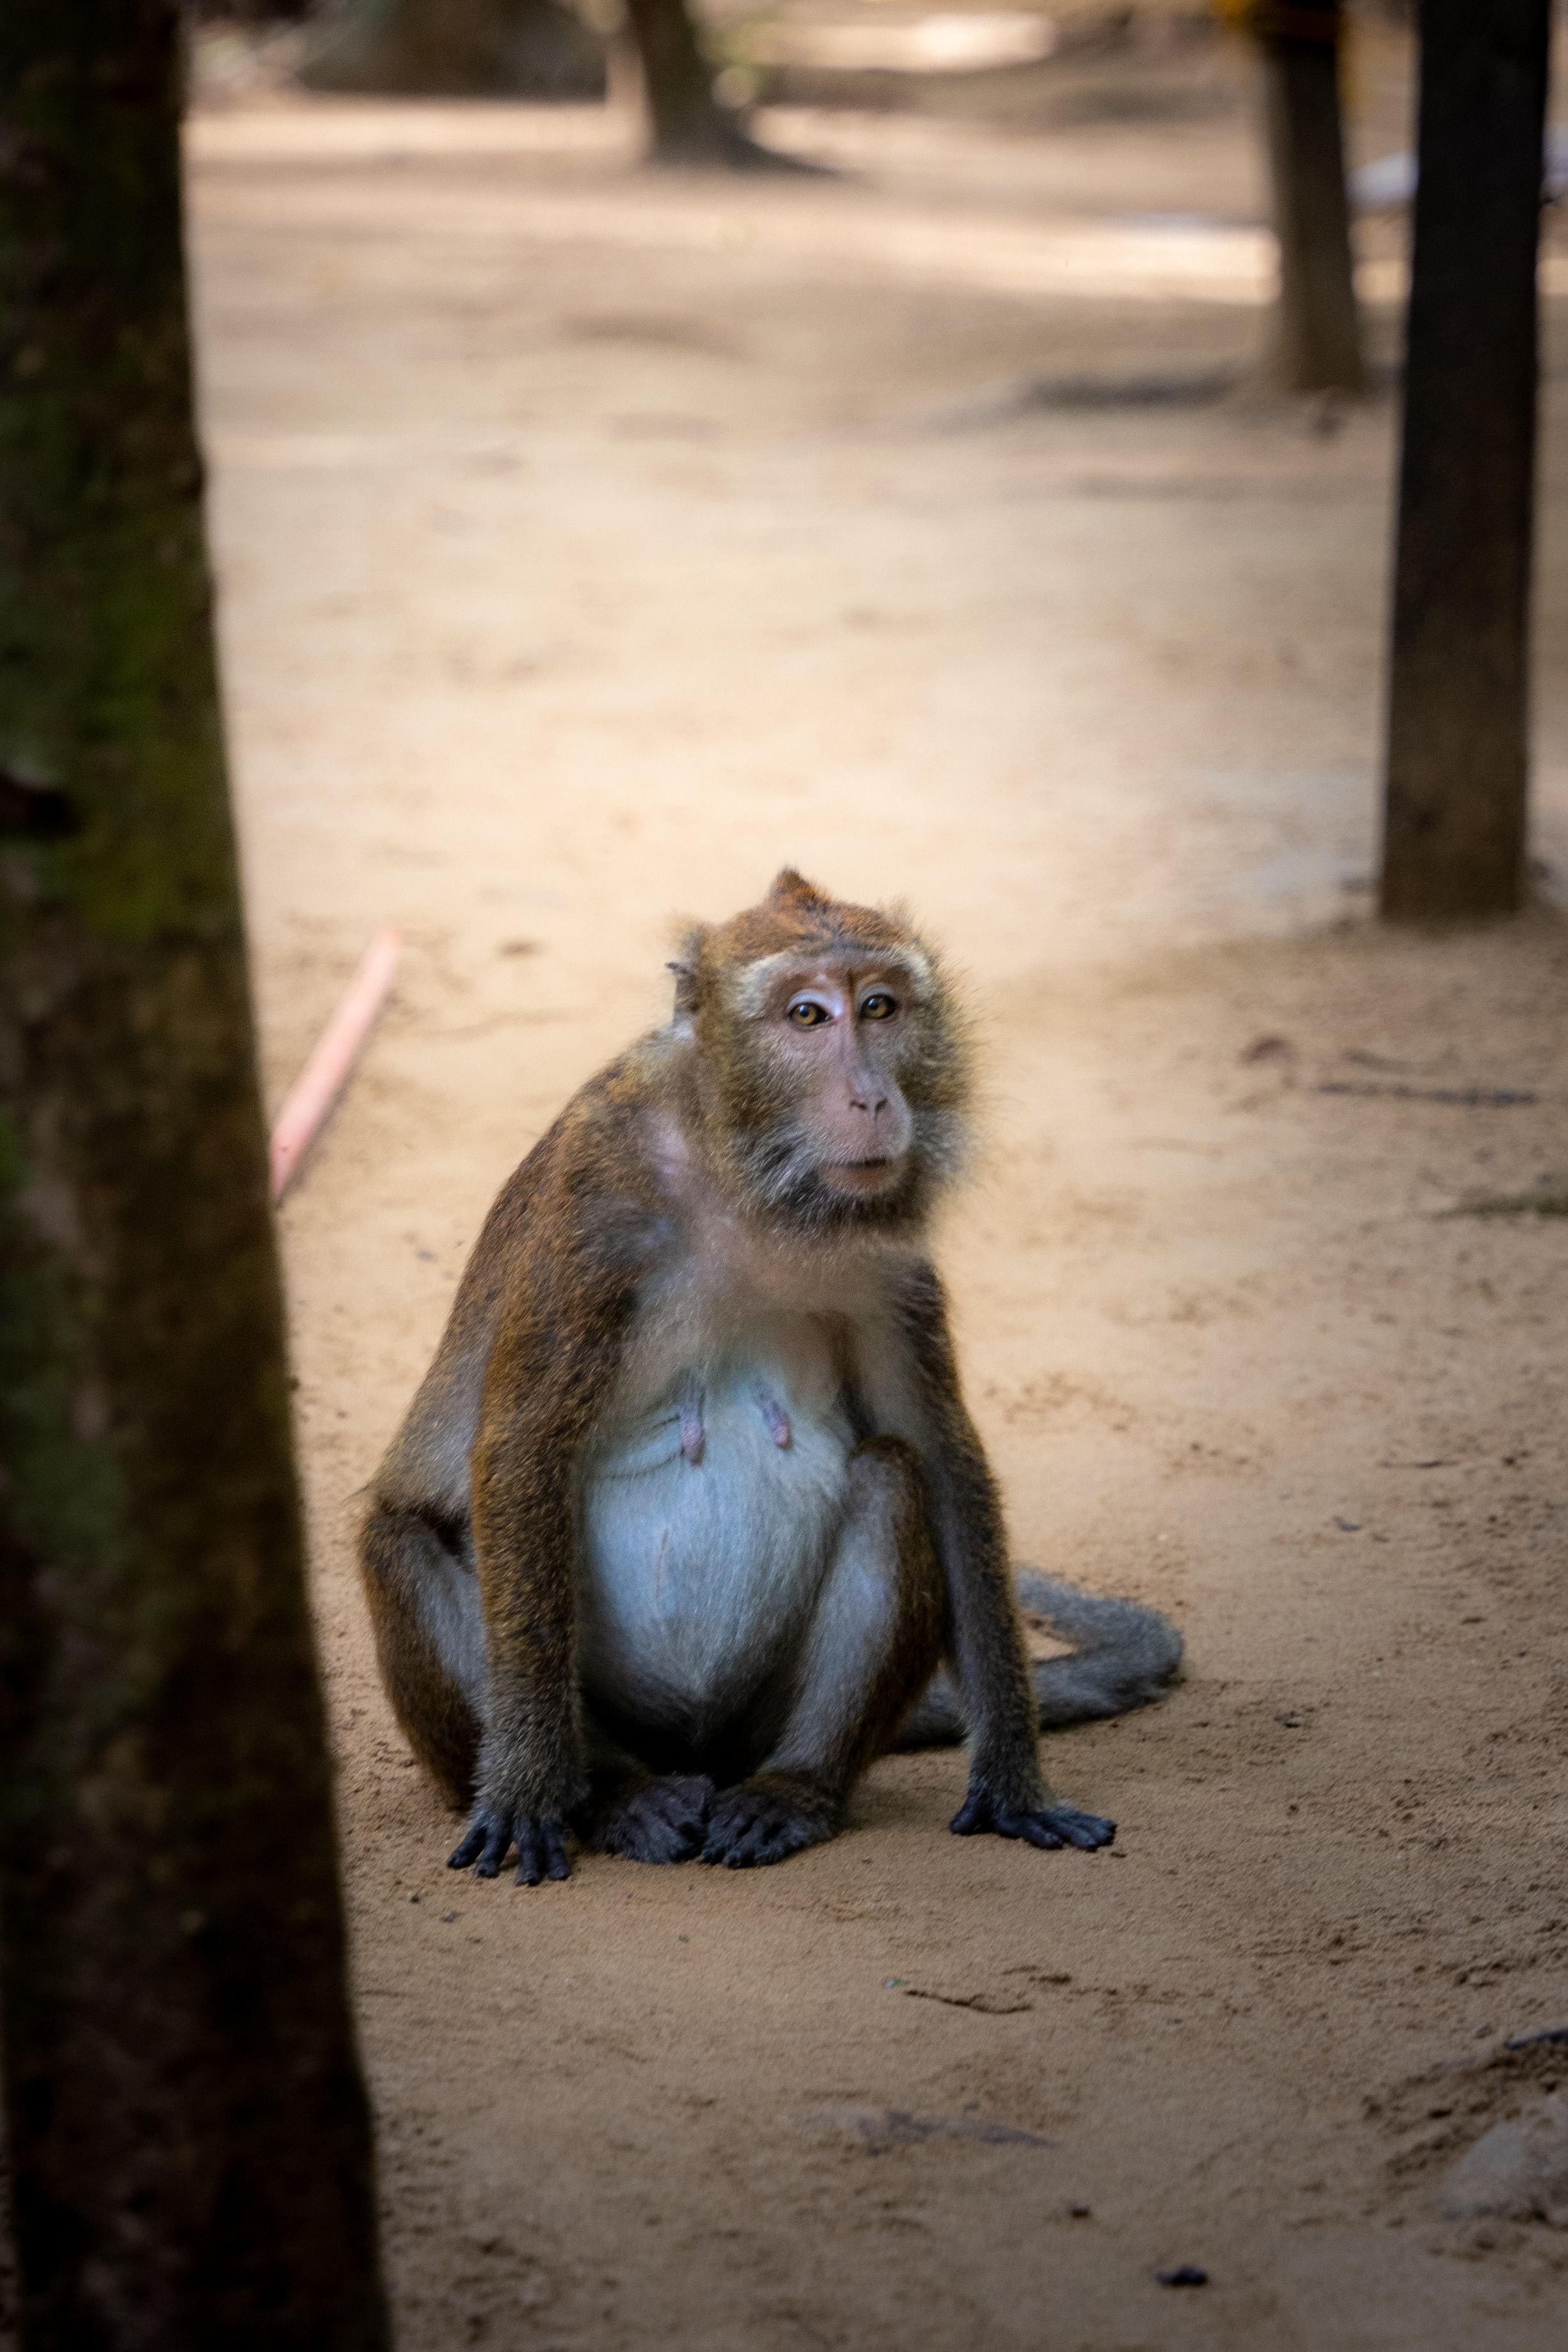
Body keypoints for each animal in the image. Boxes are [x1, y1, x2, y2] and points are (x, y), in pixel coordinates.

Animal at [359, 870, 1181, 1885]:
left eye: (879, 1007)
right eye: (806, 1015)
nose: (872, 1098)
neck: (746, 1179)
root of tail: (703, 1755)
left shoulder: (885, 1258)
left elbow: (943, 1459)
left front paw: (1013, 1782)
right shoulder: (593, 1198)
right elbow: (523, 1448)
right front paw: (525, 1791)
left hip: (758, 1721)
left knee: (893, 1478)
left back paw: (796, 1789)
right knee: (401, 1541)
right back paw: (613, 1795)